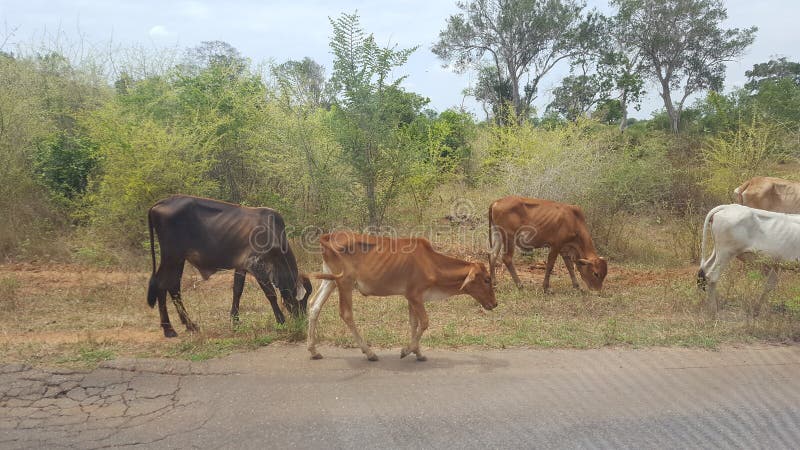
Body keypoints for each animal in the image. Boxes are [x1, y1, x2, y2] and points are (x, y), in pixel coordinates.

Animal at [147, 195, 309, 337]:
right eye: (303, 300)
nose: (302, 319)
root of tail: (161, 203)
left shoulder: (242, 266)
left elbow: (237, 291)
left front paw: (235, 321)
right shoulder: (256, 265)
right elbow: (271, 294)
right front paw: (281, 321)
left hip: (178, 259)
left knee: (173, 286)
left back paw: (190, 325)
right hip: (171, 256)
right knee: (162, 285)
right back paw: (169, 329)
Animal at [306, 231, 497, 361]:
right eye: (487, 279)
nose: (494, 303)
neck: (431, 264)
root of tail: (328, 236)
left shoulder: (411, 298)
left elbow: (414, 323)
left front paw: (418, 353)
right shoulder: (415, 296)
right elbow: (424, 322)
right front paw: (406, 351)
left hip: (330, 280)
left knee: (314, 306)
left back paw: (313, 350)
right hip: (344, 282)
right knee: (346, 314)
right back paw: (369, 352)